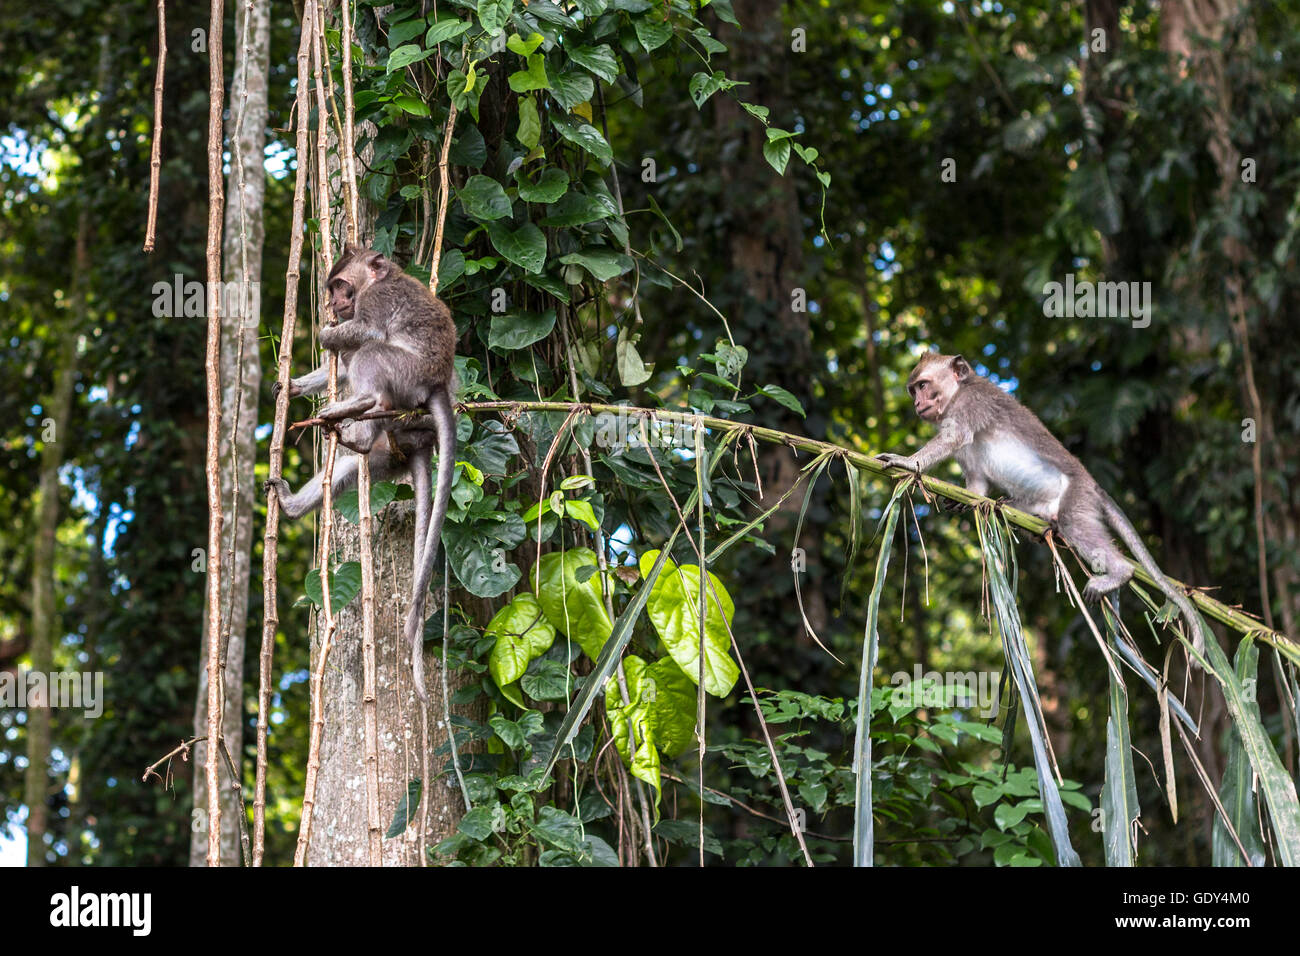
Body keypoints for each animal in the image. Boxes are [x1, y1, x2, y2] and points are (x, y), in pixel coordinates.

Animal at [268, 244, 459, 700]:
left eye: (341, 286)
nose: (335, 303)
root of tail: (436, 385)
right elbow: (339, 365)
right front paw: (294, 385)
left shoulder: (376, 301)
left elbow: (367, 332)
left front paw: (327, 334)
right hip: (388, 449)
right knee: (349, 466)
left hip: (406, 374)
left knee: (372, 355)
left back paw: (361, 405)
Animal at [878, 351, 1206, 656]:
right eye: (913, 390)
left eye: (923, 385)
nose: (917, 403)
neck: (960, 390)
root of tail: (1094, 485)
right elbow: (978, 482)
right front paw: (968, 500)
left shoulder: (970, 404)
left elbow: (954, 438)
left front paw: (905, 461)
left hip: (1077, 496)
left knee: (1076, 524)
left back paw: (1119, 573)